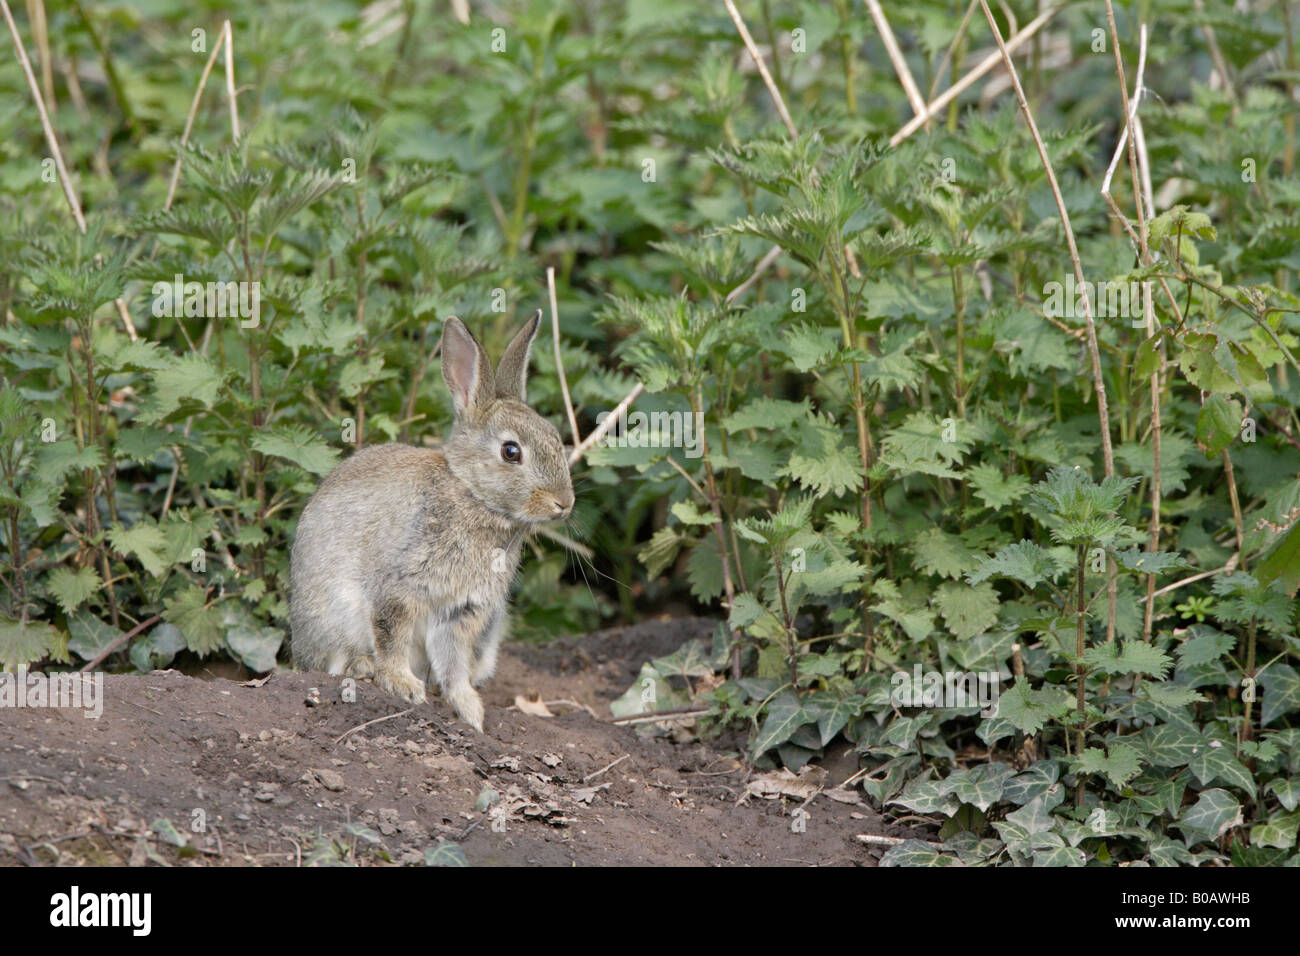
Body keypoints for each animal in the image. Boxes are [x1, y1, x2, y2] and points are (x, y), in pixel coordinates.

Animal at [289, 311, 574, 732]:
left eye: (555, 438)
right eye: (511, 452)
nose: (563, 504)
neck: (472, 496)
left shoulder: (460, 611)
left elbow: (453, 662)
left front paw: (470, 712)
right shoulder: (399, 586)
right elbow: (390, 633)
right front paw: (404, 686)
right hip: (331, 614)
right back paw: (362, 667)